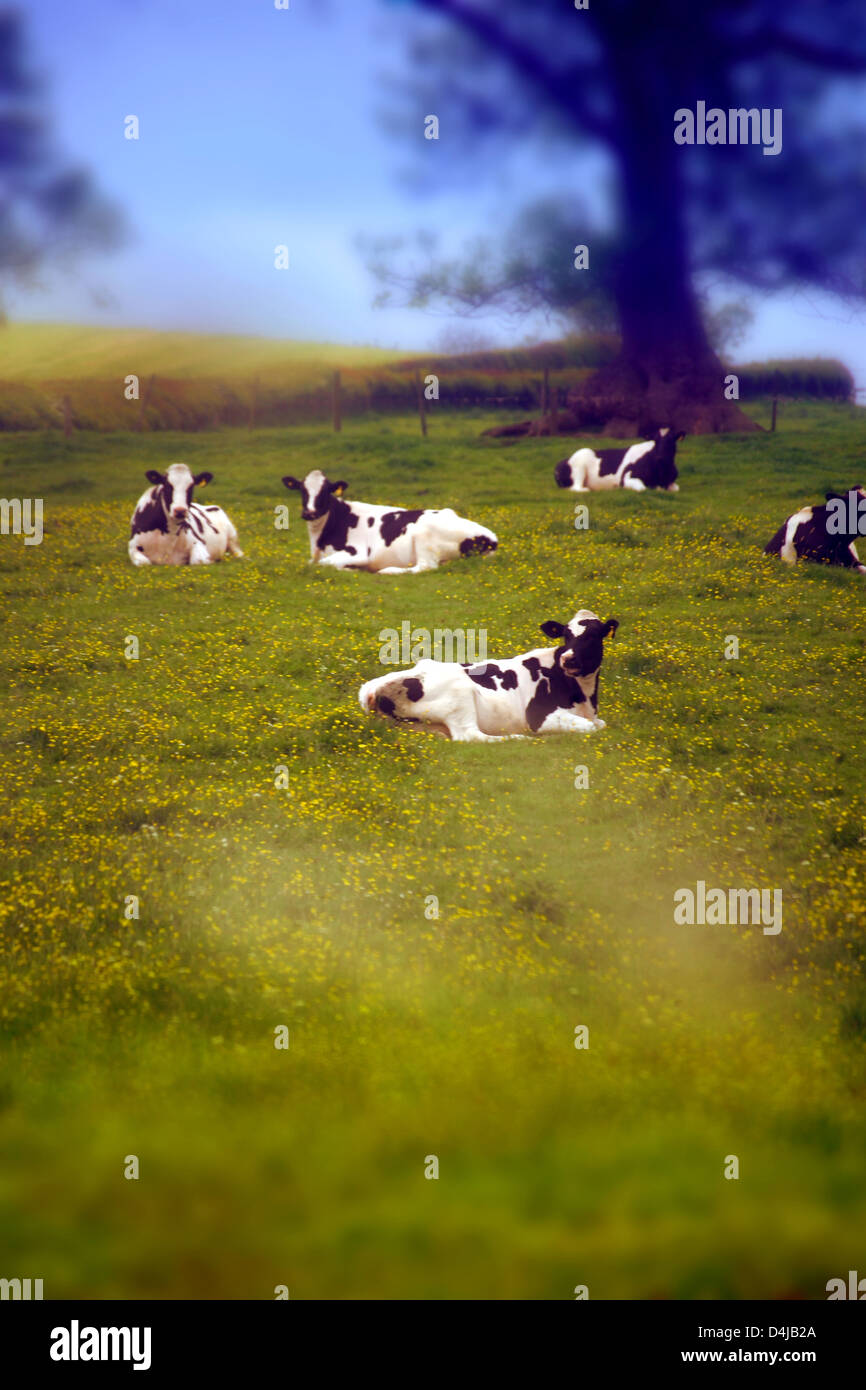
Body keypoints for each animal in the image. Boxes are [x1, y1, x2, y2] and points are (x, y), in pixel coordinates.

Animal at [281, 470, 497, 574]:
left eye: (325, 491)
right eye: (302, 490)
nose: (309, 512)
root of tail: (492, 538)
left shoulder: (359, 553)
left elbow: (323, 564)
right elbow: (311, 563)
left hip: (423, 534)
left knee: (424, 567)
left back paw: (388, 571)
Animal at [358, 608, 619, 742]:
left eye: (593, 636)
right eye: (566, 635)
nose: (568, 659)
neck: (585, 697)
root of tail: (372, 688)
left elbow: (601, 724)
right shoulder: (540, 718)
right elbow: (592, 727)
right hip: (460, 694)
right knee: (470, 736)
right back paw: (517, 738)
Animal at [554, 427, 684, 492]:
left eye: (671, 440)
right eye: (655, 440)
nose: (660, 457)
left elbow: (676, 489)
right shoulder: (626, 478)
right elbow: (642, 488)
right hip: (580, 466)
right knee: (578, 488)